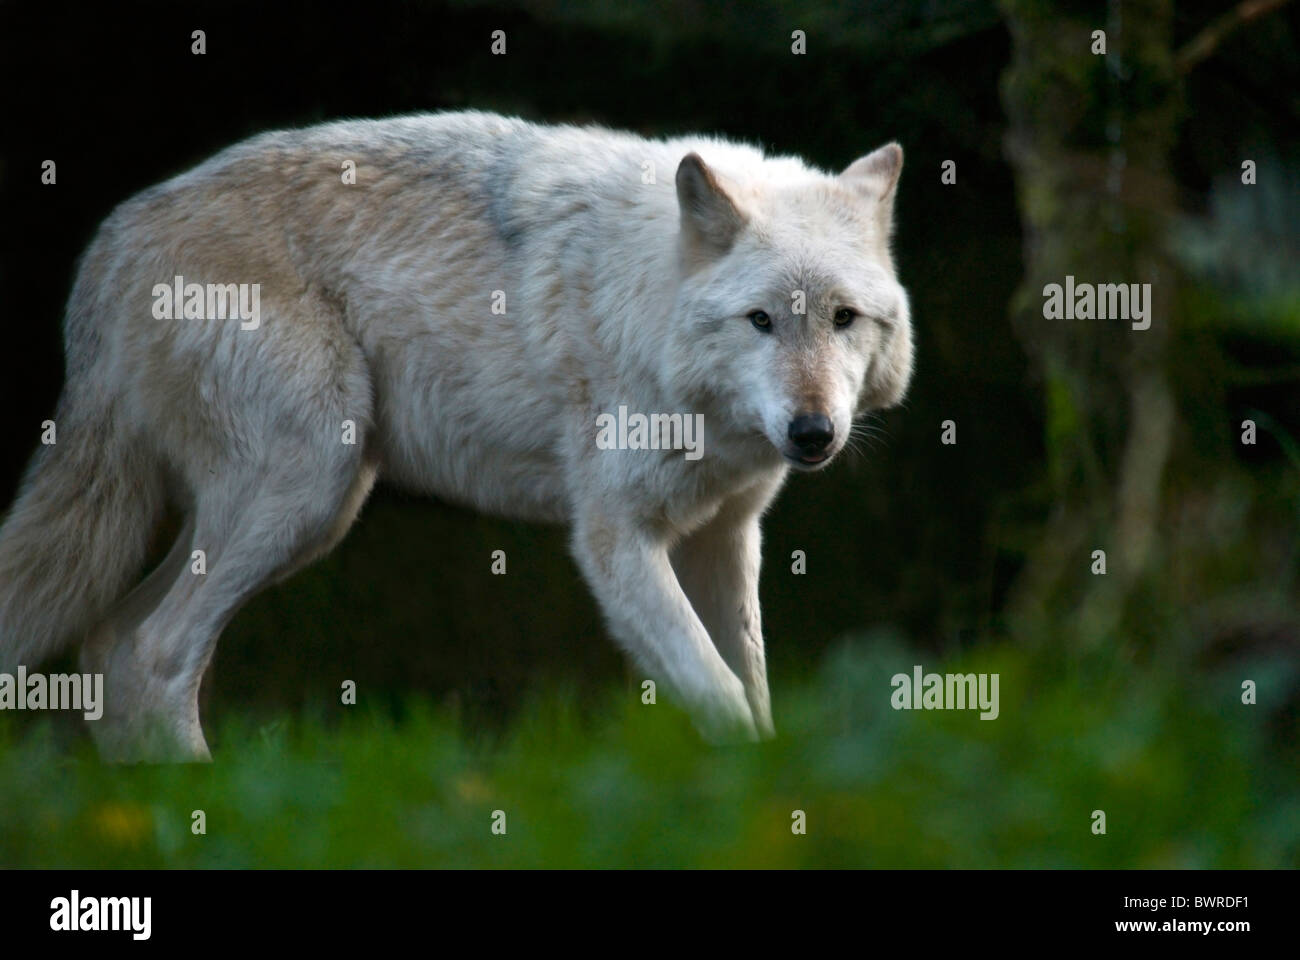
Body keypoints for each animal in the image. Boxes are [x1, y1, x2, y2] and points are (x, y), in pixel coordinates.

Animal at [0, 111, 913, 760]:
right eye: (761, 321)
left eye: (843, 319)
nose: (812, 433)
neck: (645, 297)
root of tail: (113, 244)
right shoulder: (616, 538)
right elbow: (720, 695)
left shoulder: (725, 538)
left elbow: (753, 695)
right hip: (310, 489)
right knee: (154, 657)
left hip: (295, 514)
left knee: (111, 648)